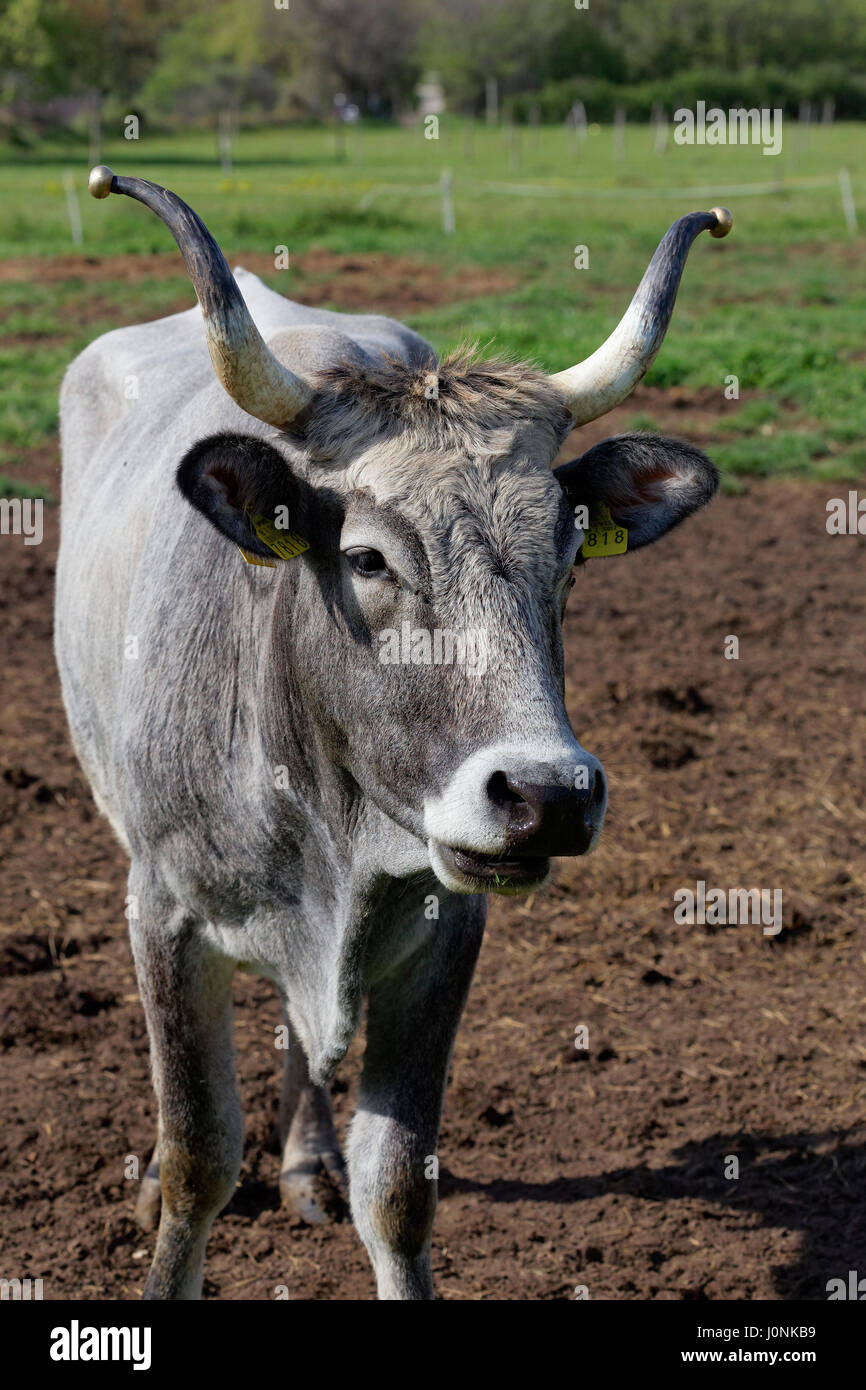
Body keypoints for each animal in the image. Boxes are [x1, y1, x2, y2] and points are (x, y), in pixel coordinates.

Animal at [54, 163, 731, 1300]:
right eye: (366, 558)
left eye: (570, 557)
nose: (546, 795)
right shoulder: (163, 912)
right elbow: (197, 1158)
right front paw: (166, 1196)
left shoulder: (445, 928)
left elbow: (399, 1185)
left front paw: (339, 1172)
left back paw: (306, 1160)